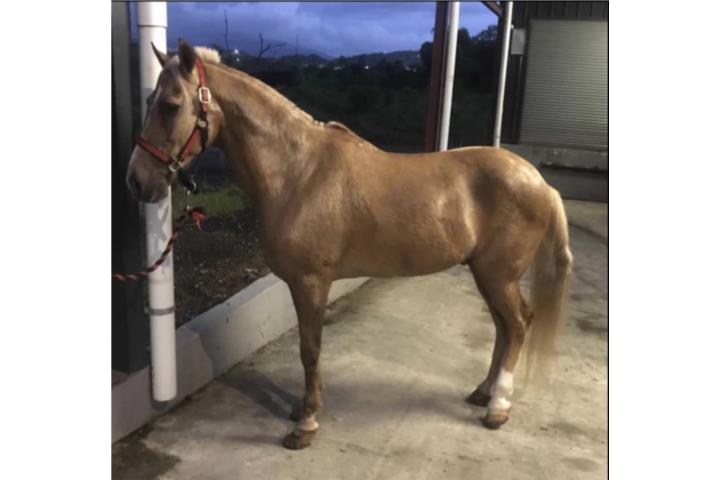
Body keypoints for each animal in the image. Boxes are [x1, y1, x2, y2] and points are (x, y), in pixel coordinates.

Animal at [126, 41, 573, 450]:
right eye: (150, 100)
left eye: (170, 105)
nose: (137, 181)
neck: (298, 172)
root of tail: (539, 182)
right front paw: (301, 410)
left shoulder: (310, 282)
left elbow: (310, 350)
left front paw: (306, 424)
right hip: (486, 274)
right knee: (503, 327)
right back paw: (484, 391)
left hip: (498, 275)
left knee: (518, 324)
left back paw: (498, 407)